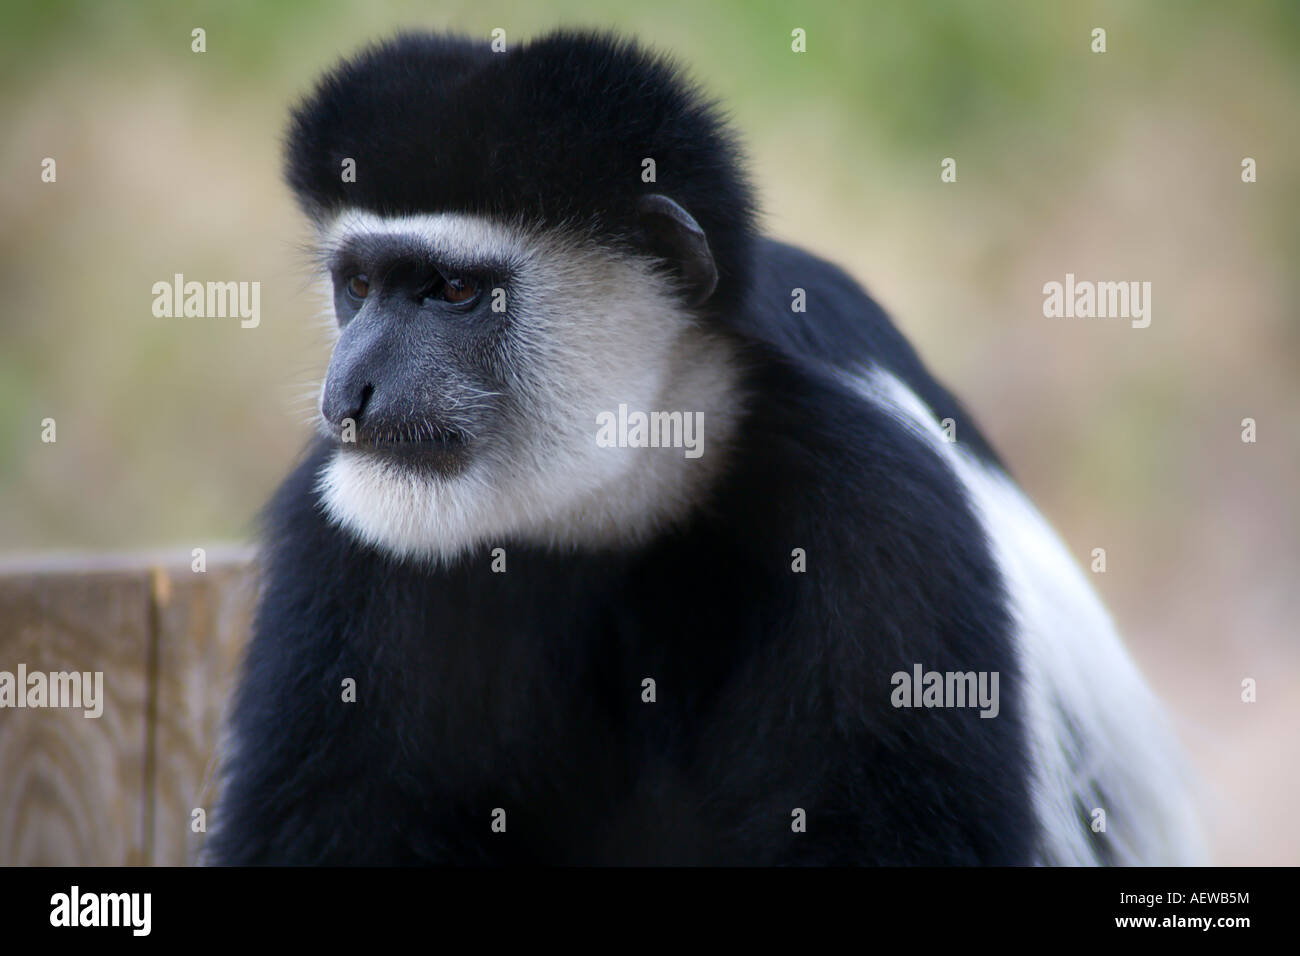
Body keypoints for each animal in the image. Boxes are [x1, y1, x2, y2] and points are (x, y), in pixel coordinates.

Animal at [206, 30, 1203, 865]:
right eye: (359, 286)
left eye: (452, 291)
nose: (349, 393)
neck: (628, 496)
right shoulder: (343, 543)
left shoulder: (883, 518)